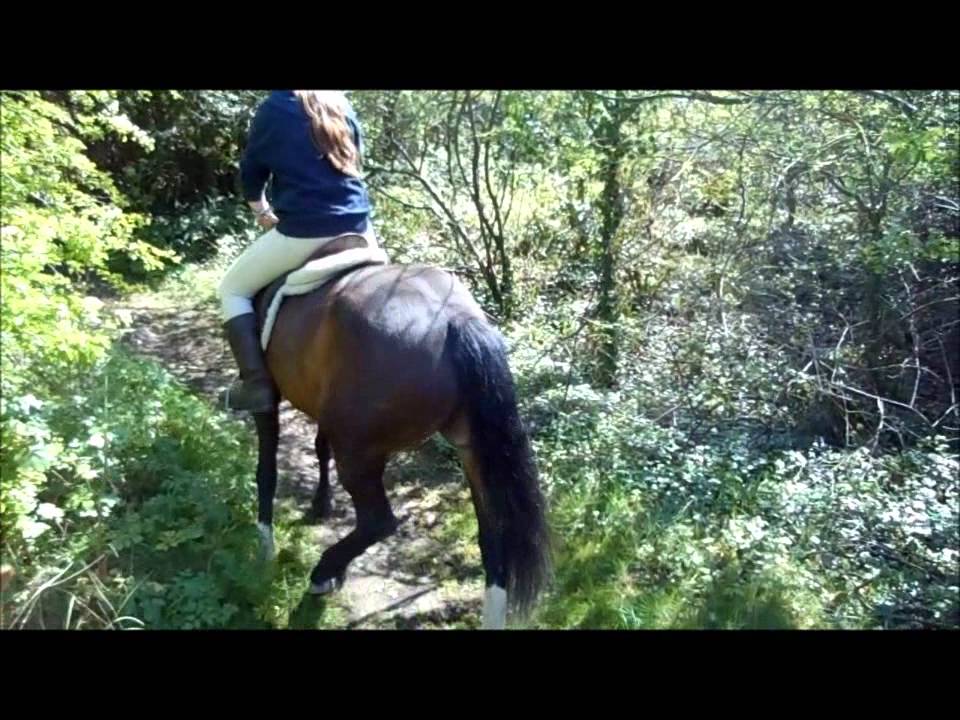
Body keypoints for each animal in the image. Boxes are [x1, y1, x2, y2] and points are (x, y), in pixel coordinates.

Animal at [247, 235, 551, 629]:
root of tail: (455, 321)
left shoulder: (270, 398)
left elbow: (267, 467)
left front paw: (264, 543)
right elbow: (318, 446)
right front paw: (320, 505)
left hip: (359, 452)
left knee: (378, 522)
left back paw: (322, 574)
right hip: (469, 449)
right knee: (492, 531)